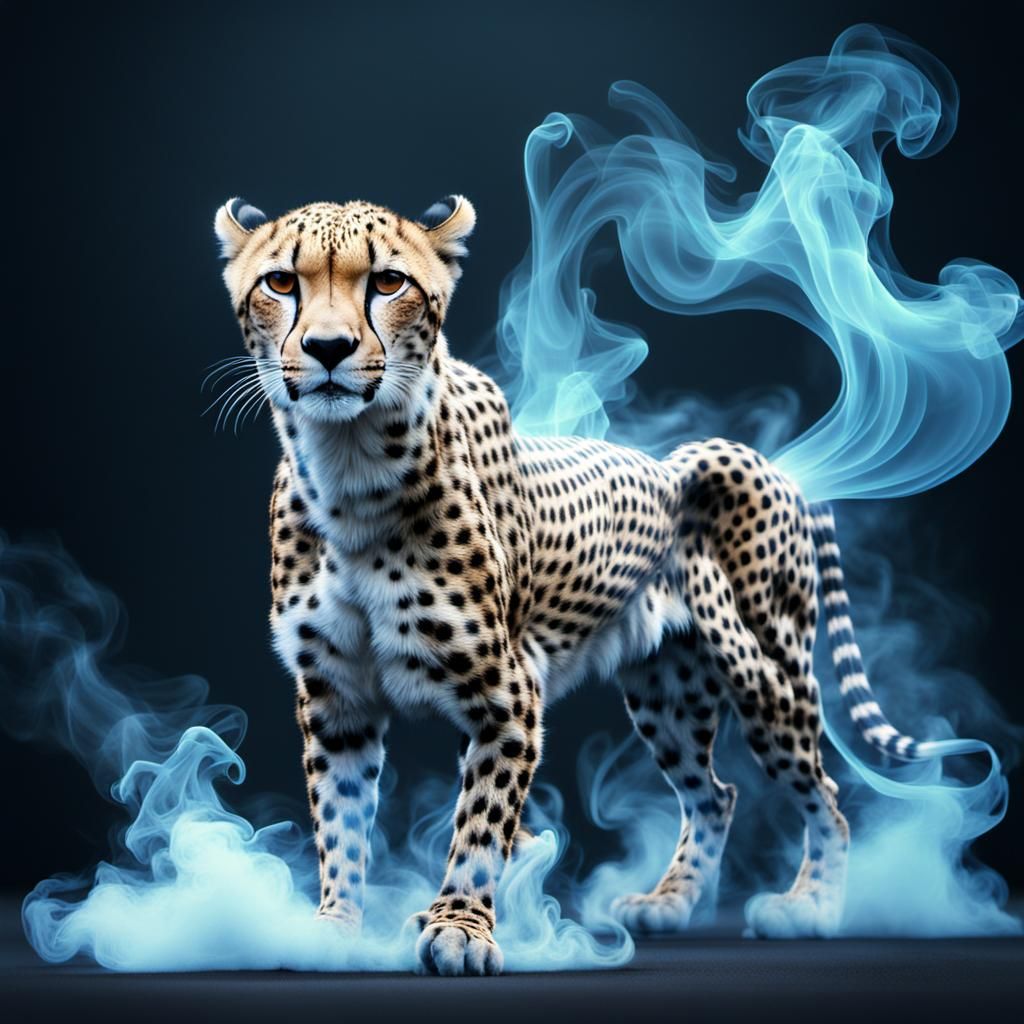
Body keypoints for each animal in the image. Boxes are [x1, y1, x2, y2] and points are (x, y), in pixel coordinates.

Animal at [213, 194, 929, 974]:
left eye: (388, 282)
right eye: (282, 283)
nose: (329, 349)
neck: (350, 467)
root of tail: (730, 456)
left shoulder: (507, 695)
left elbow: (481, 825)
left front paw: (461, 930)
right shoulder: (336, 699)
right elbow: (340, 822)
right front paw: (336, 928)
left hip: (767, 677)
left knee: (823, 793)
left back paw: (812, 906)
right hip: (669, 694)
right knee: (716, 793)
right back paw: (670, 902)